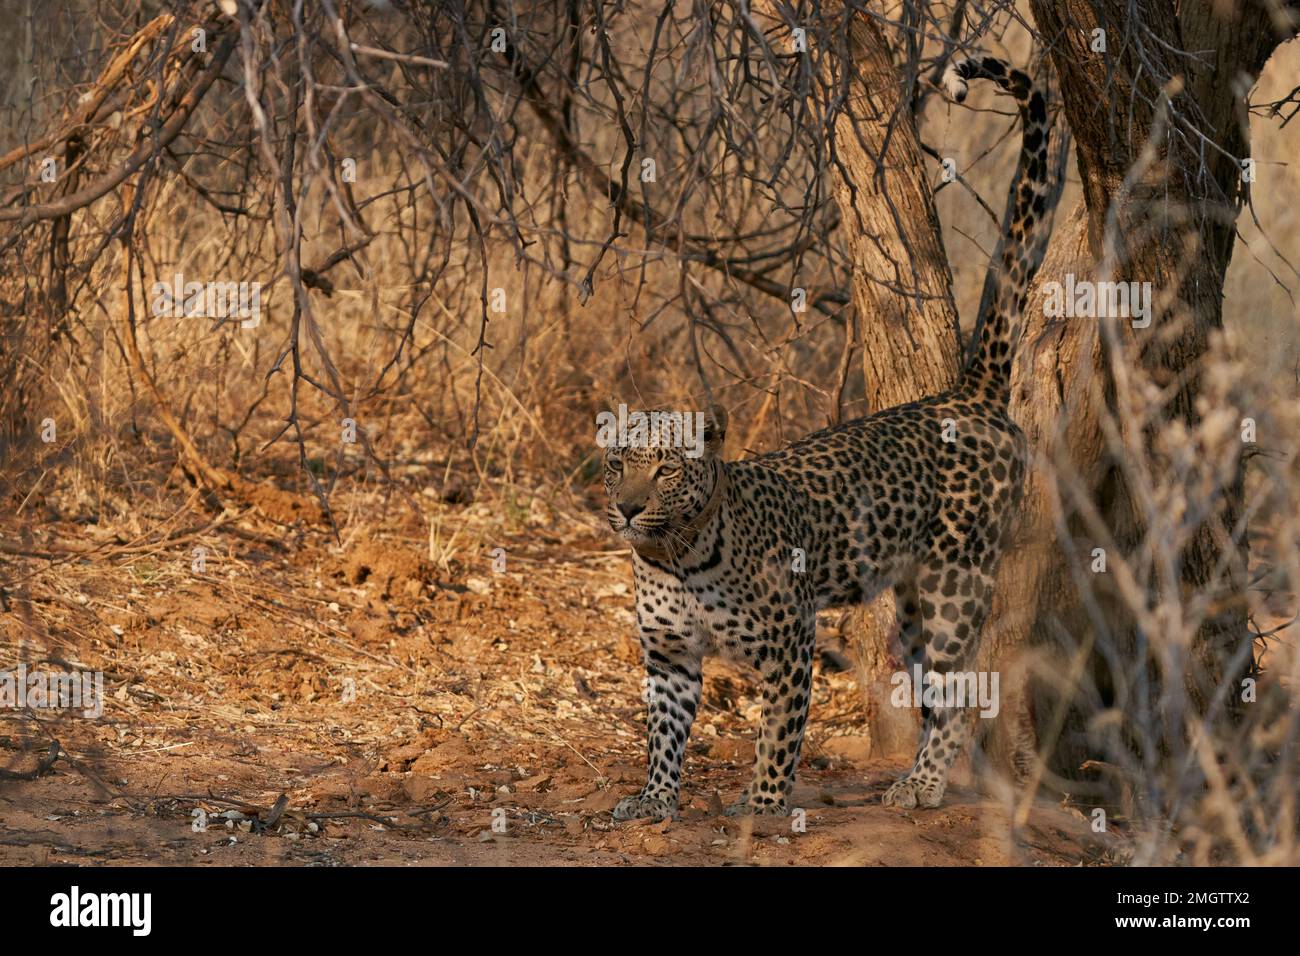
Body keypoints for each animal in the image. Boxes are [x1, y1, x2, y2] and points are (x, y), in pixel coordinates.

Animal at [602, 55, 1053, 821]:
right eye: (617, 465)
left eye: (665, 470)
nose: (628, 509)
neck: (677, 555)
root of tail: (967, 394)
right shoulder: (668, 659)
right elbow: (663, 733)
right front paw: (654, 799)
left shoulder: (790, 638)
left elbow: (779, 730)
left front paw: (762, 802)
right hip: (912, 596)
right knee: (933, 689)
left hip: (955, 584)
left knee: (961, 693)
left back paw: (922, 786)